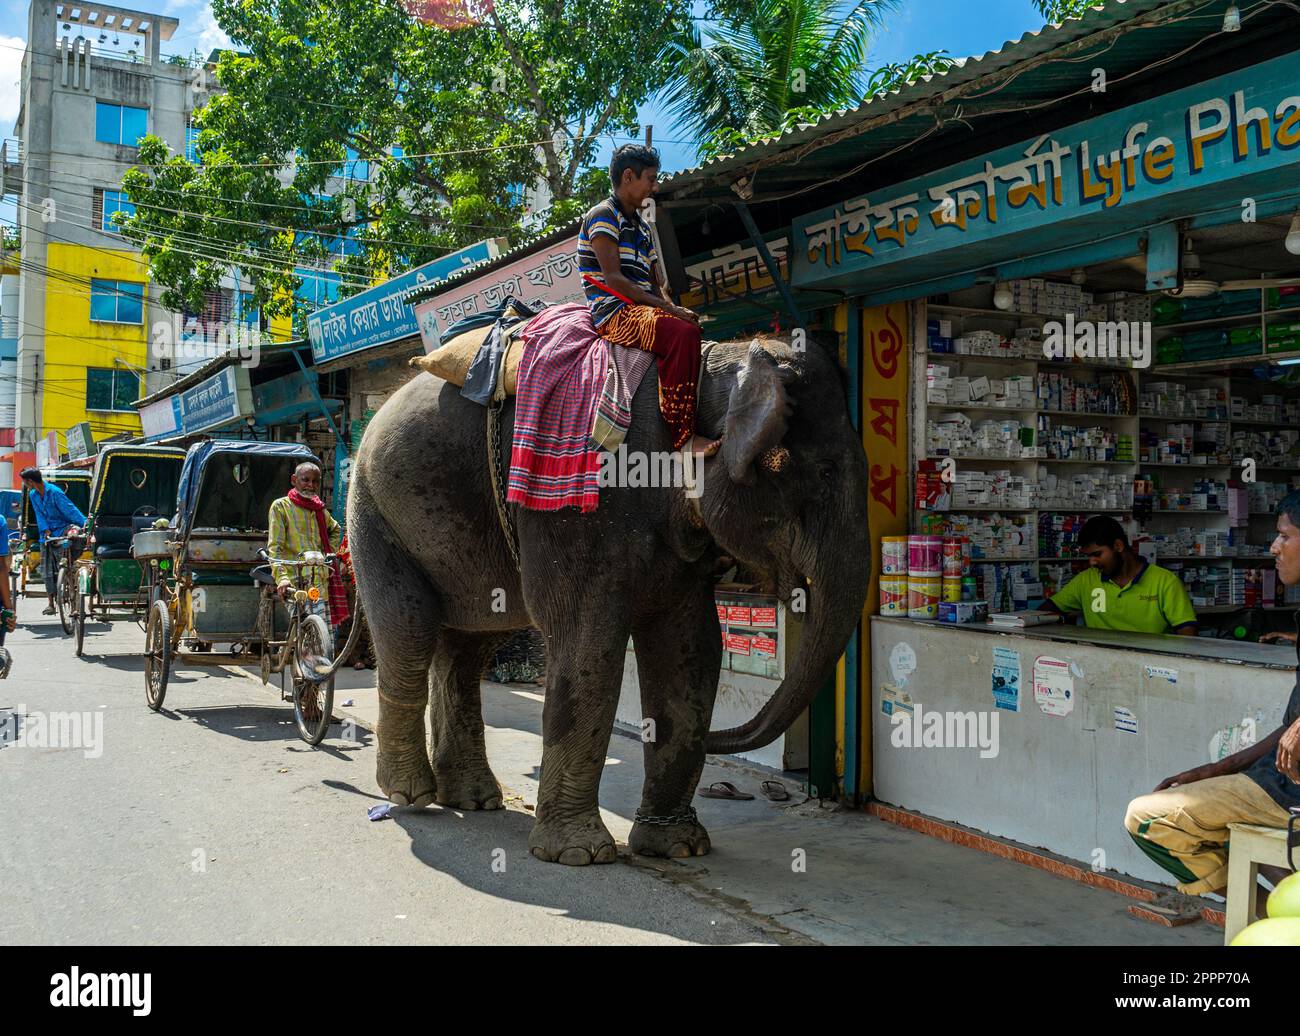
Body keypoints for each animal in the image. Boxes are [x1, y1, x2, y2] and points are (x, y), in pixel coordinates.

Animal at [346, 331, 871, 866]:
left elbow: (692, 648)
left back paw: (473, 799)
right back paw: (410, 793)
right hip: (373, 513)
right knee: (409, 632)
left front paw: (678, 847)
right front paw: (580, 855)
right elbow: (588, 644)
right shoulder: (577, 499)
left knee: (469, 648)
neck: (705, 368)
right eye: (825, 473)